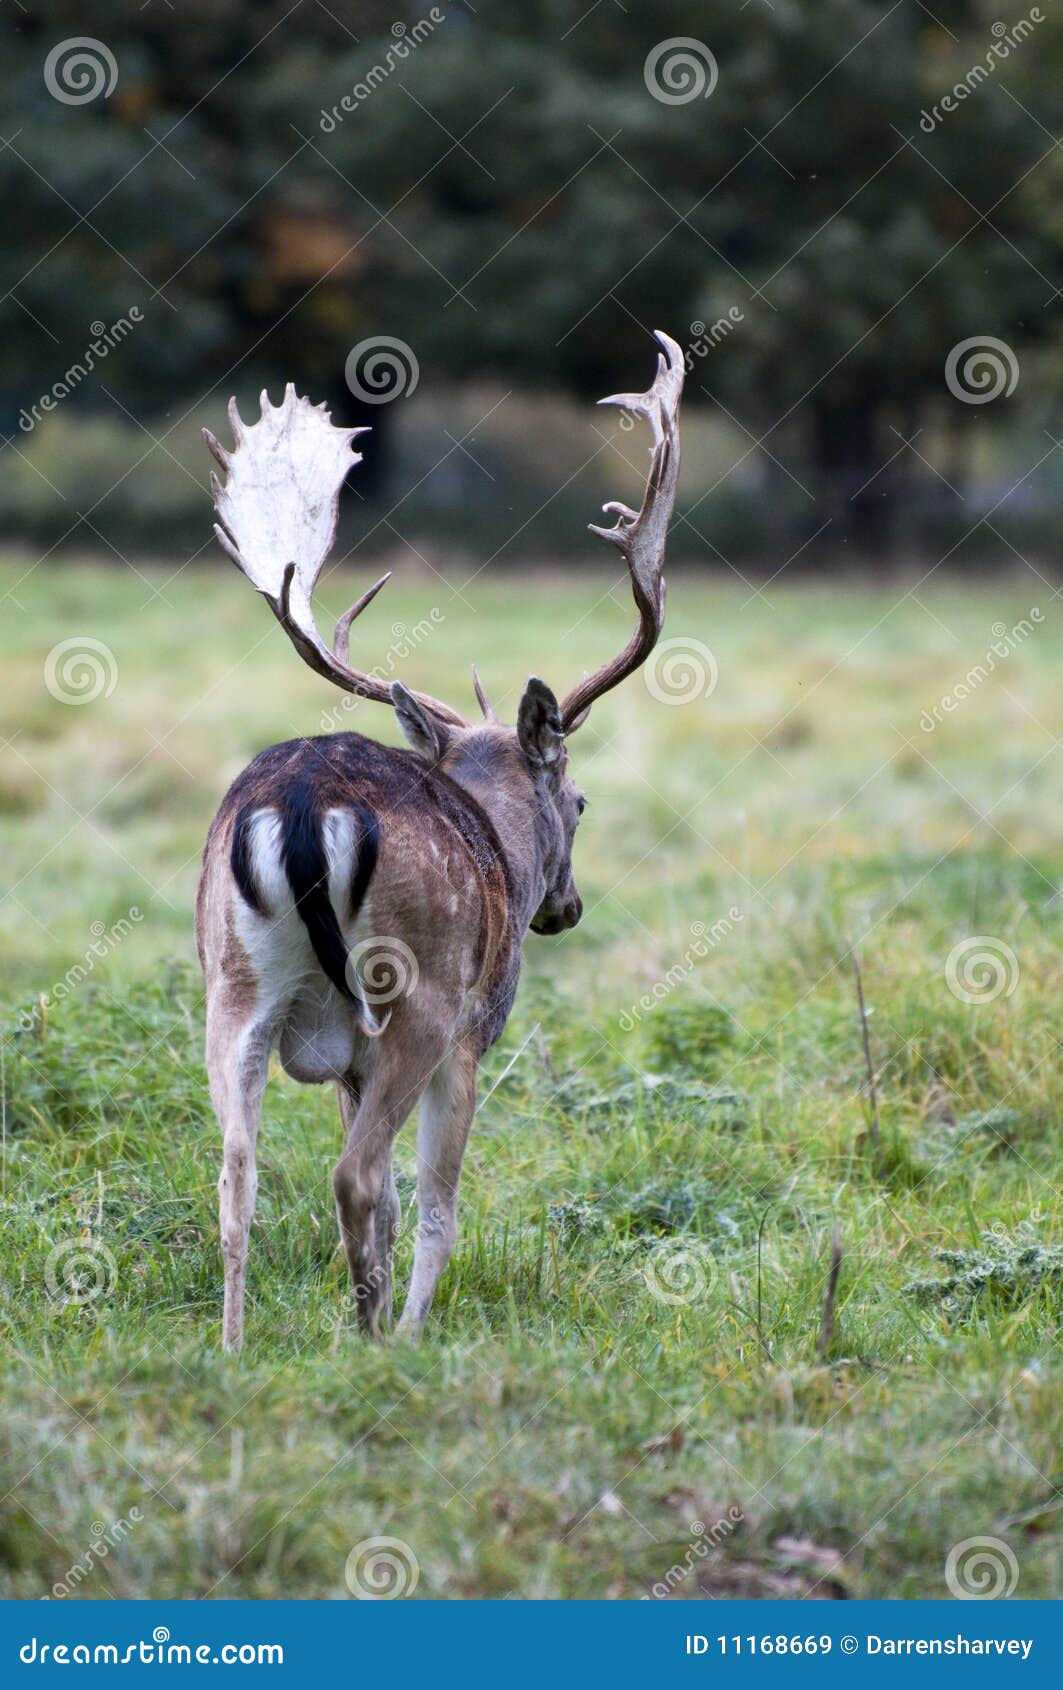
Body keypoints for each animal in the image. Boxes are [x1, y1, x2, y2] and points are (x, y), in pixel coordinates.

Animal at [195, 330, 683, 1352]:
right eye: (582, 801)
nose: (565, 909)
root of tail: (304, 803)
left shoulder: (346, 1056)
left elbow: (382, 1204)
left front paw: (376, 1314)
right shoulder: (471, 1030)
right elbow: (434, 1206)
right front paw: (408, 1331)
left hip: (231, 980)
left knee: (236, 1172)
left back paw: (235, 1346)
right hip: (414, 989)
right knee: (355, 1178)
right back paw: (372, 1345)